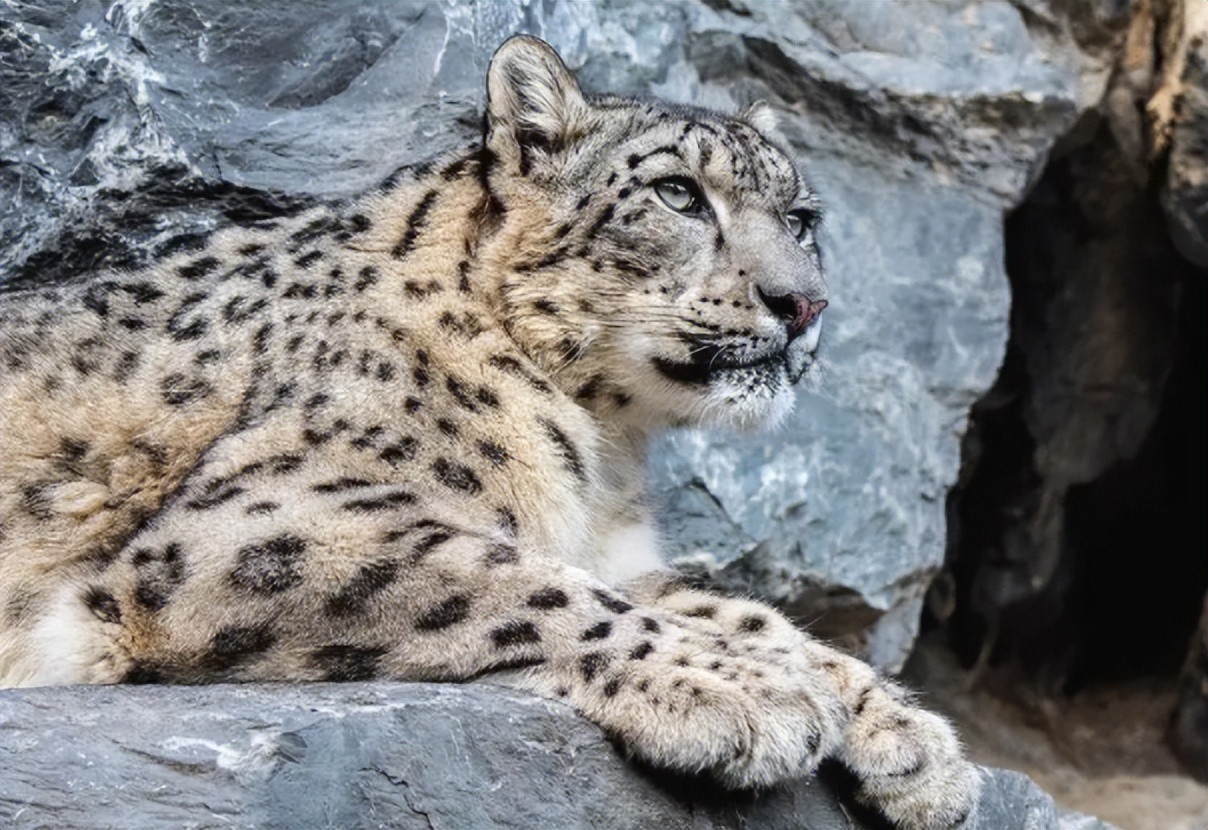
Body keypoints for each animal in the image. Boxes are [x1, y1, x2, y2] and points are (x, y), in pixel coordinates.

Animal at [0, 35, 980, 829]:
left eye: (802, 221)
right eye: (678, 194)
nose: (804, 304)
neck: (607, 447)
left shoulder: (616, 551)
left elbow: (735, 608)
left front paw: (911, 738)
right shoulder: (265, 521)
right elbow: (523, 582)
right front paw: (749, 691)